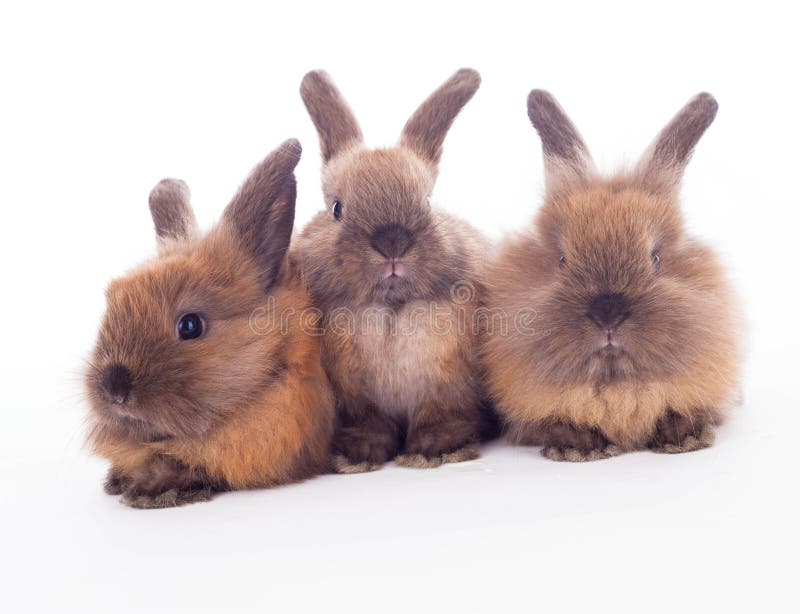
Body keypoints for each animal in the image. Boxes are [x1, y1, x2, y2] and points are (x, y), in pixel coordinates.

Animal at [295, 68, 497, 472]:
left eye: (428, 202)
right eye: (337, 208)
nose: (392, 243)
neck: (391, 307)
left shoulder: (448, 385)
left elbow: (443, 416)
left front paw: (434, 450)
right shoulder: (355, 396)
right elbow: (369, 424)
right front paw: (357, 454)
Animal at [483, 90, 742, 462]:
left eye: (656, 257)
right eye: (562, 259)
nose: (608, 315)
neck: (617, 387)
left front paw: (683, 439)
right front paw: (577, 447)